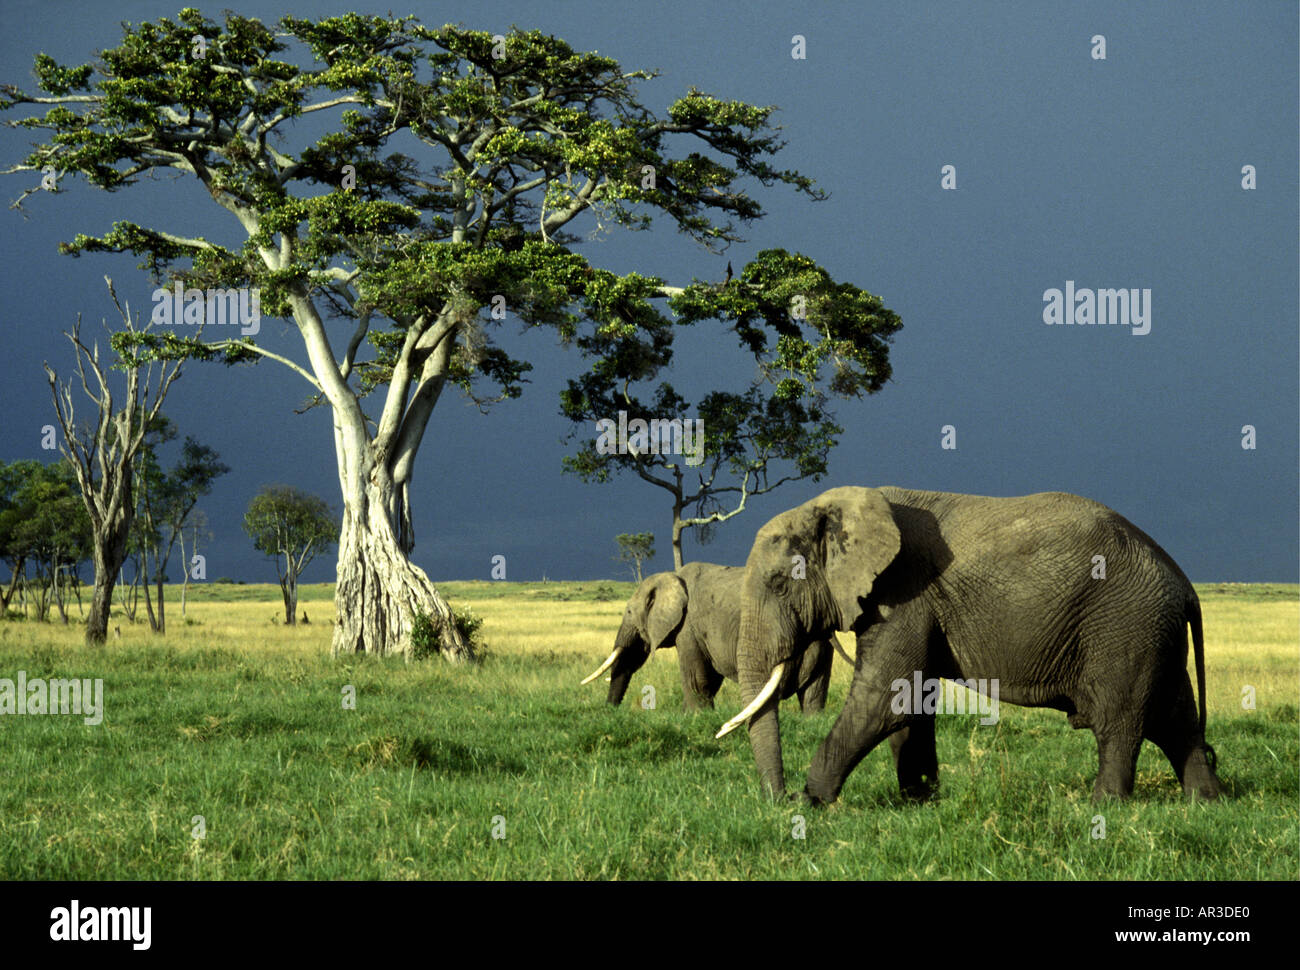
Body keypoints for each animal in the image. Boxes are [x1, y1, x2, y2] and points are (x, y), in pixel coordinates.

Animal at [581, 561, 845, 714]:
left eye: (628, 612)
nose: (610, 712)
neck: (671, 576)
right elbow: (710, 676)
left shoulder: (689, 627)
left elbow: (697, 675)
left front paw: (695, 717)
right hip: (820, 639)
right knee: (815, 687)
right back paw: (812, 718)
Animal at [715, 486, 1220, 805]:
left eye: (779, 584)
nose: (779, 799)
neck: (836, 505)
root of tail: (1184, 583)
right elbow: (910, 701)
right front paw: (920, 802)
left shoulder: (904, 594)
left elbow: (886, 698)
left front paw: (813, 802)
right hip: (1152, 632)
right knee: (1175, 718)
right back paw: (1204, 802)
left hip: (1125, 628)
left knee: (1119, 721)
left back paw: (1102, 808)